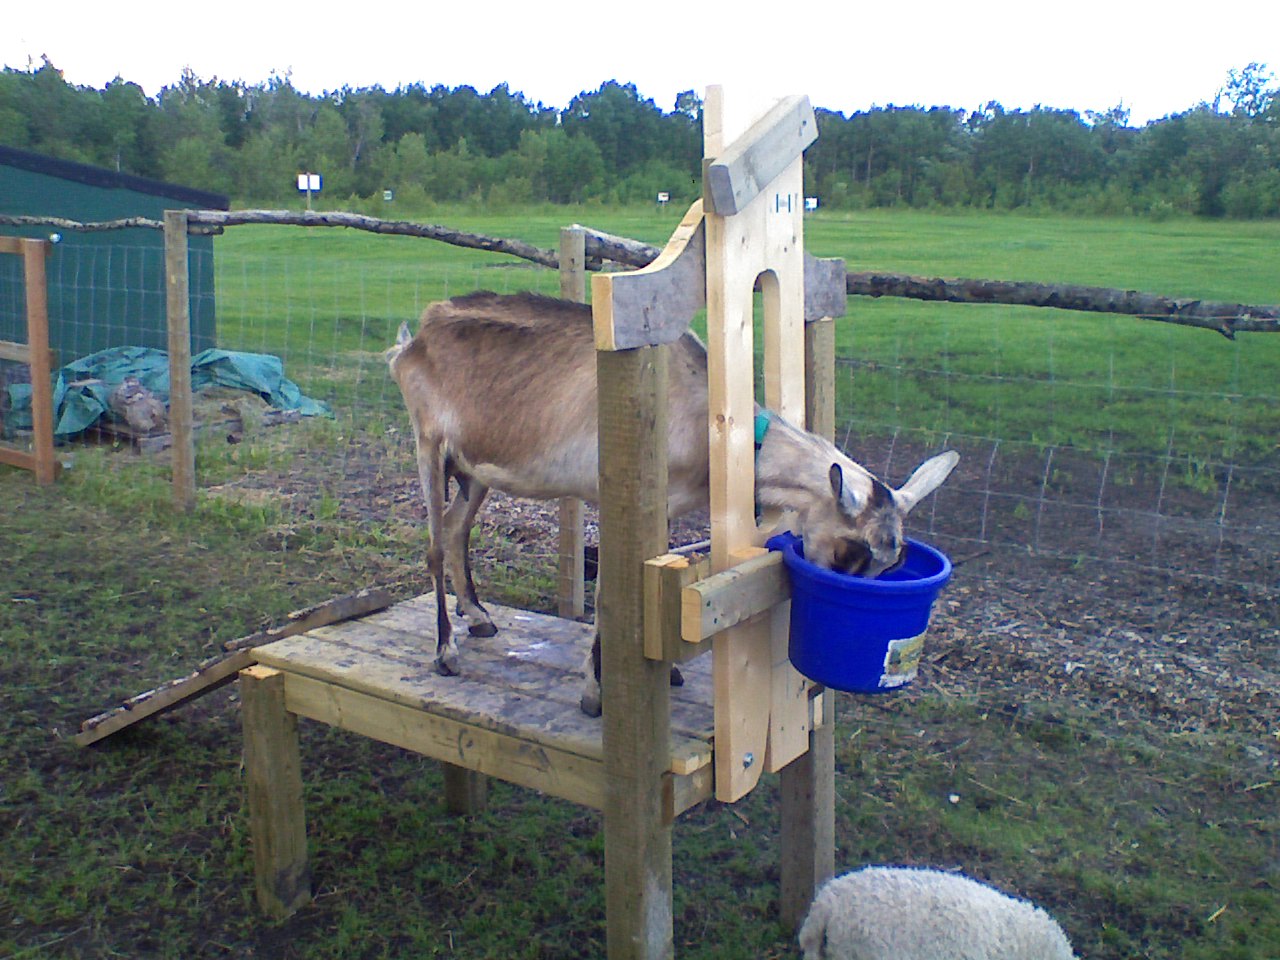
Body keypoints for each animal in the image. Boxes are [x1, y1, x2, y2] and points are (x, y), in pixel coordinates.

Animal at [387, 291, 959, 715]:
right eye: (848, 552)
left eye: (893, 564)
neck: (698, 417)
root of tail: (413, 339)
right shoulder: (612, 494)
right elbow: (610, 593)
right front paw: (596, 693)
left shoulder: (661, 508)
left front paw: (670, 671)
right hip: (428, 442)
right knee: (434, 544)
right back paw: (446, 651)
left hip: (475, 469)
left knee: (457, 529)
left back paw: (479, 615)